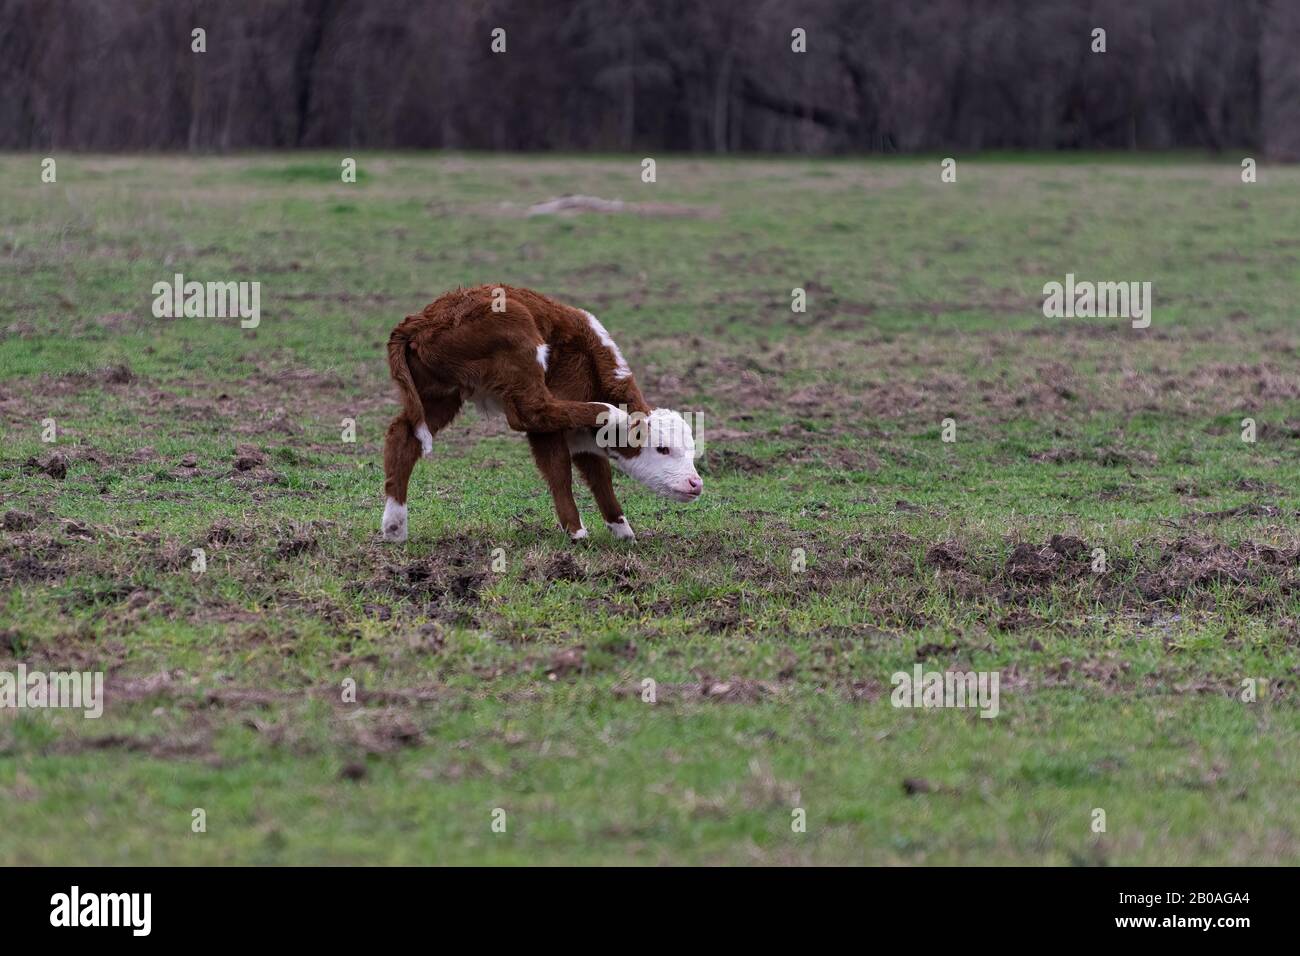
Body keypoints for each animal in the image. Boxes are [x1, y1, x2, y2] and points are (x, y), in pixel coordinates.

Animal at [382, 285, 702, 543]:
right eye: (662, 448)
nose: (695, 483)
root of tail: (423, 318)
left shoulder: (586, 443)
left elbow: (599, 476)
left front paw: (623, 531)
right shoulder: (550, 427)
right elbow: (559, 469)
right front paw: (576, 531)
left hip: (439, 394)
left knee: (403, 434)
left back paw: (395, 526)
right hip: (518, 340)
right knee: (532, 411)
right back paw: (612, 413)